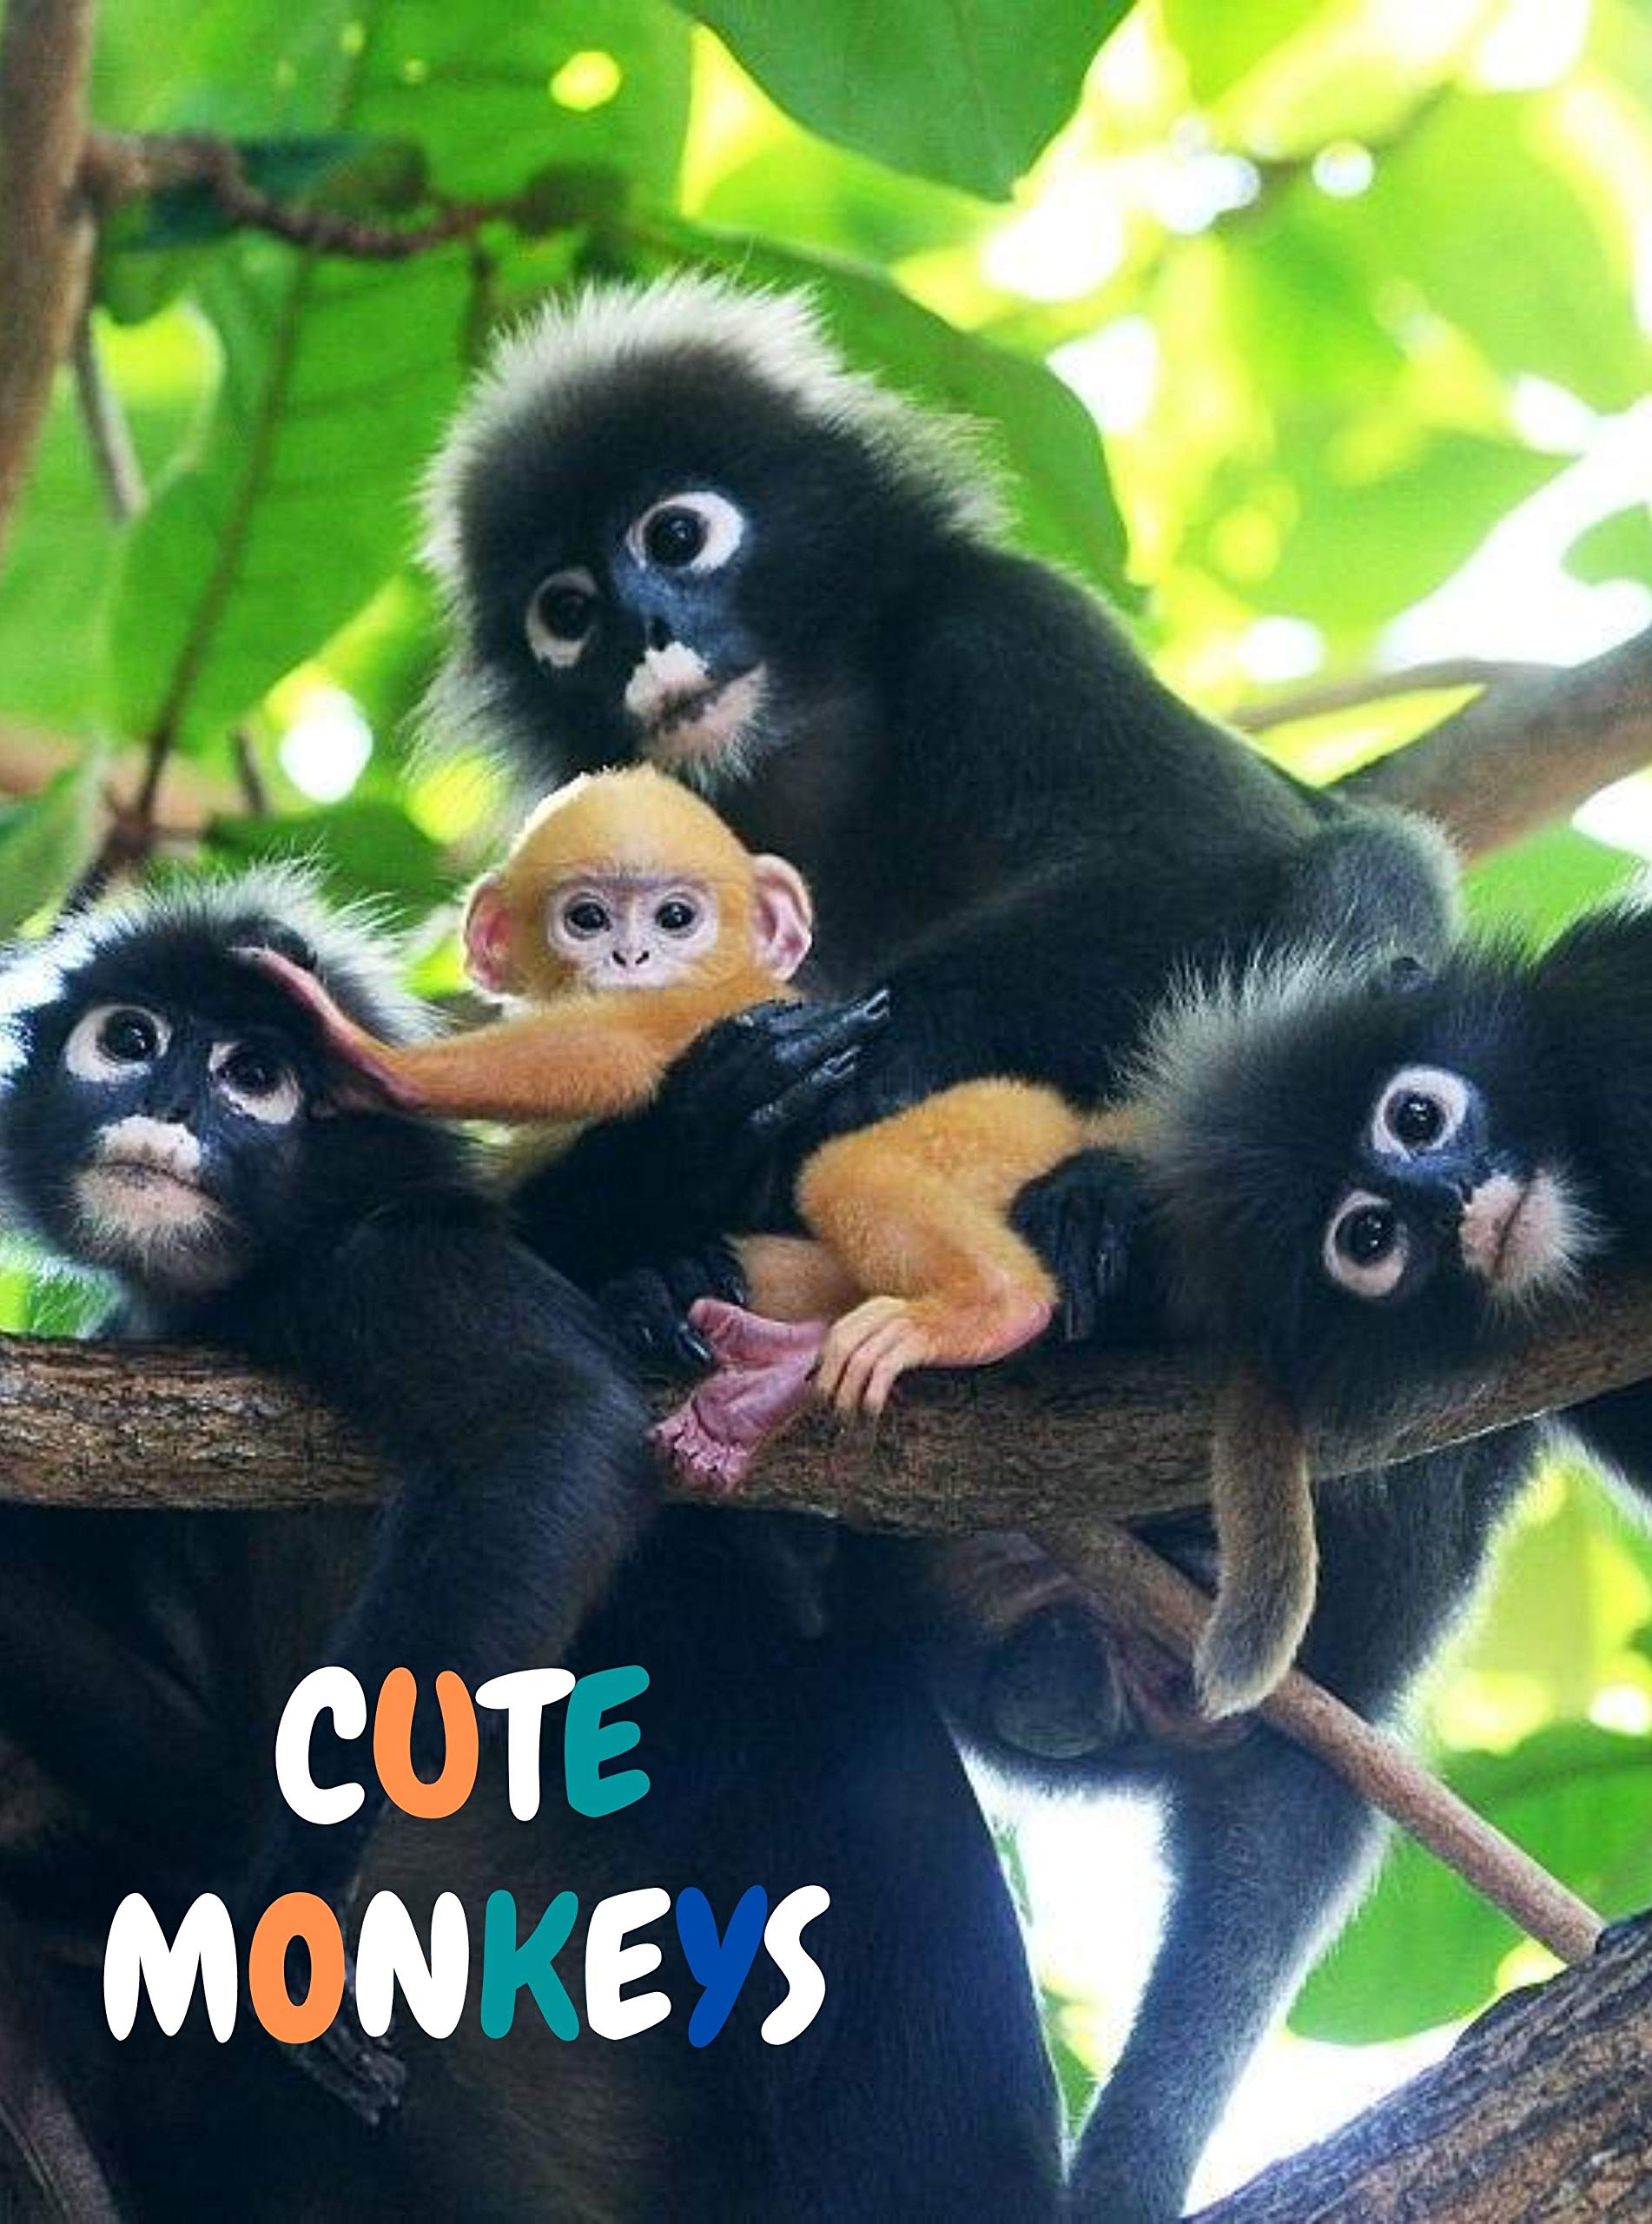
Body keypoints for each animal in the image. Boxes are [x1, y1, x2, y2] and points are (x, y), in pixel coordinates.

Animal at [0, 871, 1066, 2220]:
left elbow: (548, 1427)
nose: (172, 1104)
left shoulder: (378, 1257)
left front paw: (288, 1931)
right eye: (130, 1040)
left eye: (254, 1075)